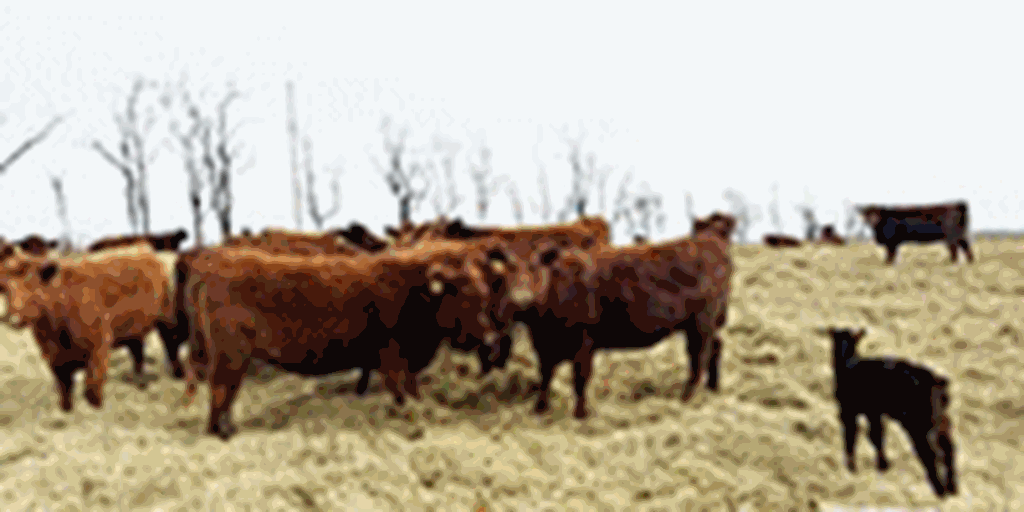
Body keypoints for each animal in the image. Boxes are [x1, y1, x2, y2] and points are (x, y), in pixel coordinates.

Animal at [0, 245, 174, 411]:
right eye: (5, 289)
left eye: (32, 286)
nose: (14, 319)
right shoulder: (55, 359)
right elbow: (65, 390)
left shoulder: (98, 350)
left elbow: (92, 391)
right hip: (134, 332)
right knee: (138, 352)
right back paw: (139, 382)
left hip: (166, 319)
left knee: (168, 343)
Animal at [176, 240, 527, 440]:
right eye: (462, 297)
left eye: (484, 293)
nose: (489, 339)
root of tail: (212, 258)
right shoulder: (393, 357)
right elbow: (403, 393)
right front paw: (411, 422)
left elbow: (410, 391)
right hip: (230, 354)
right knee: (221, 390)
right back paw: (221, 432)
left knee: (225, 393)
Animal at [489, 211, 736, 419]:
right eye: (508, 270)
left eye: (535, 268)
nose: (520, 300)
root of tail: (711, 237)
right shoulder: (543, 345)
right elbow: (545, 376)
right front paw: (540, 409)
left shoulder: (584, 341)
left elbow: (580, 378)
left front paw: (581, 414)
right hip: (703, 323)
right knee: (715, 347)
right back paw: (712, 388)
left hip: (702, 322)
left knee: (700, 356)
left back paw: (688, 396)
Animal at [827, 328, 958, 498]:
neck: (847, 362)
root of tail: (936, 380)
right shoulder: (873, 412)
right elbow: (877, 435)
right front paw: (883, 465)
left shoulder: (849, 410)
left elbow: (853, 436)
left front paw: (852, 467)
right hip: (941, 419)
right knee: (949, 448)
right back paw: (952, 488)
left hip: (918, 421)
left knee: (930, 452)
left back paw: (940, 489)